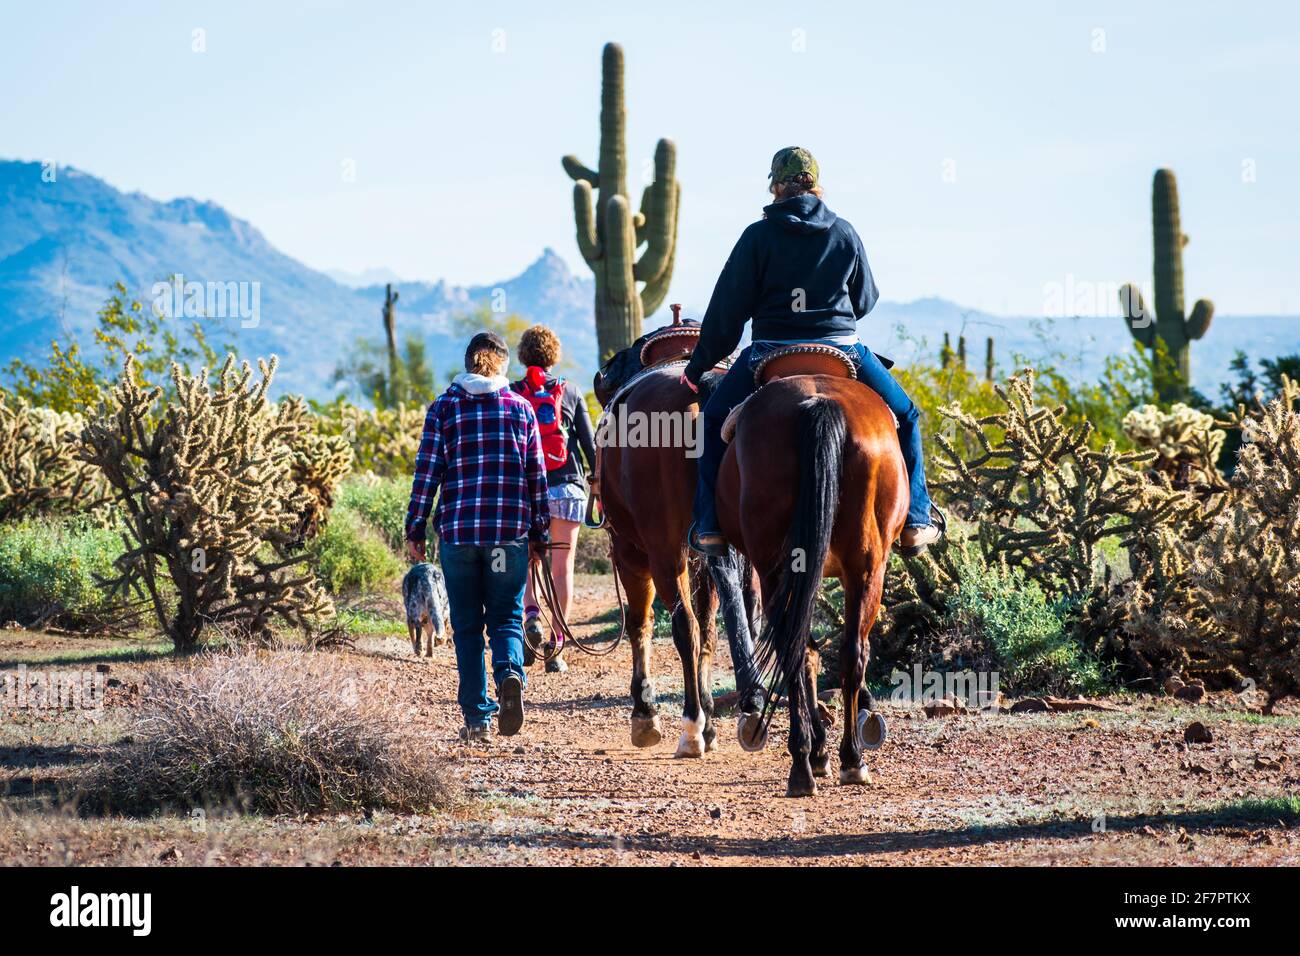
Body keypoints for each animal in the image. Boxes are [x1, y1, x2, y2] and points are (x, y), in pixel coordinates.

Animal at [592, 318, 763, 757]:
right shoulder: (703, 557)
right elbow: (709, 631)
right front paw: (711, 722)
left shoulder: (631, 553)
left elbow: (642, 623)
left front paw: (645, 714)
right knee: (720, 624)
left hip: (661, 553)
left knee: (683, 627)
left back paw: (689, 726)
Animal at [717, 350, 908, 796]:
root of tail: (817, 404)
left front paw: (819, 750)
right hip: (866, 567)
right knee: (845, 652)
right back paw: (845, 758)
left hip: (785, 569)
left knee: (803, 650)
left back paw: (807, 761)